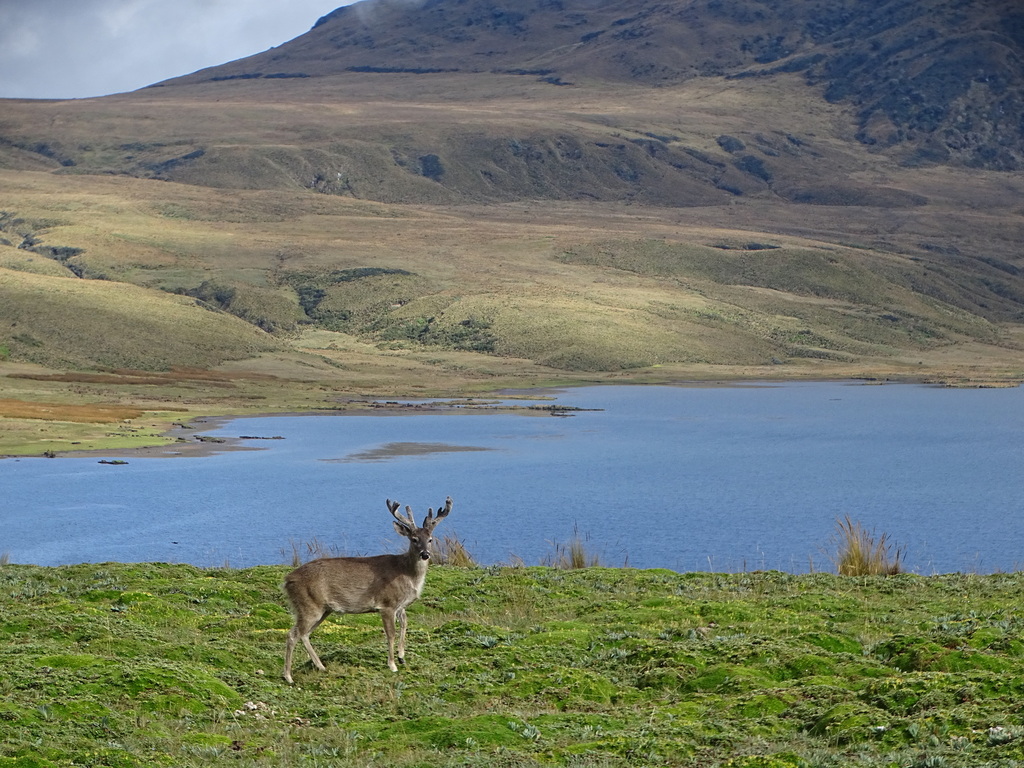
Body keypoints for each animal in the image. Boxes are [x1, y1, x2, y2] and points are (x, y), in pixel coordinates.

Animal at [282, 496, 452, 684]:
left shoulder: (401, 606)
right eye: (414, 539)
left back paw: (321, 667)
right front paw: (392, 665)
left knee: (304, 634)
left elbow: (405, 625)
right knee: (293, 634)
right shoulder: (387, 604)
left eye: (430, 539)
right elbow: (391, 634)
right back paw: (288, 676)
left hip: (322, 609)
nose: (425, 554)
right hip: (308, 605)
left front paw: (402, 657)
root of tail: (287, 580)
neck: (406, 573)